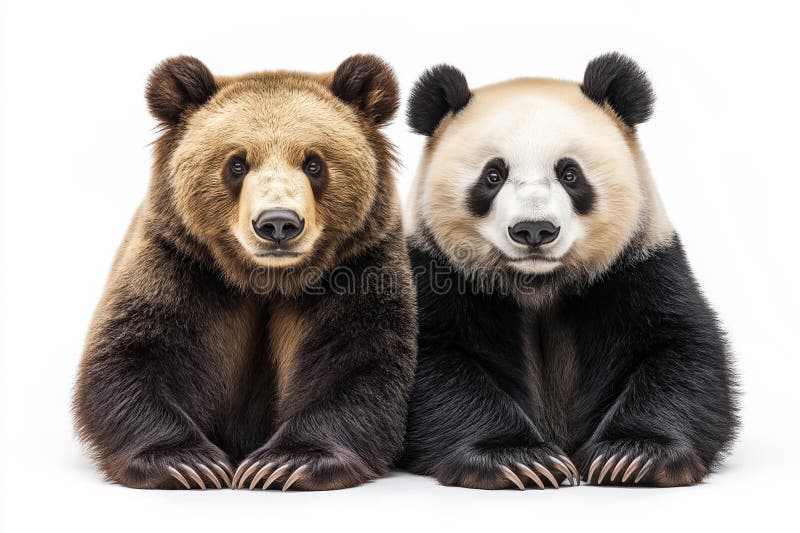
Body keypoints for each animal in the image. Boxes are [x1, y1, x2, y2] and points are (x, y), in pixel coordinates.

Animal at [73, 54, 417, 491]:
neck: (265, 279)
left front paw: (281, 464)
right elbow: (133, 355)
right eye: (236, 164)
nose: (278, 223)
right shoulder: (181, 262)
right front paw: (190, 463)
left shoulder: (357, 264)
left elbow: (359, 361)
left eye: (314, 163)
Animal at [399, 53, 738, 489]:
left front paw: (631, 456)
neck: (538, 282)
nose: (534, 229)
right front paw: (518, 459)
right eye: (493, 175)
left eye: (570, 173)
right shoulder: (437, 271)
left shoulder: (637, 267)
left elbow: (680, 353)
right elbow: (434, 366)